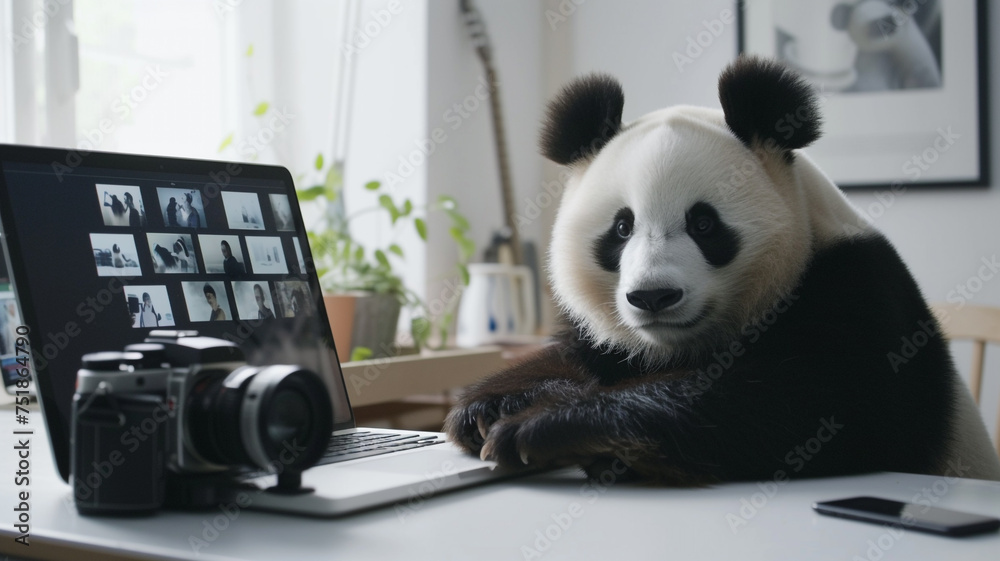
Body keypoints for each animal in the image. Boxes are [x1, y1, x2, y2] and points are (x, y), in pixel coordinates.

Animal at [444, 56, 1000, 484]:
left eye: (704, 223)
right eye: (621, 227)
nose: (653, 296)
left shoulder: (858, 293)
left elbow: (802, 406)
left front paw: (545, 428)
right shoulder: (614, 342)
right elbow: (583, 356)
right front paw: (492, 406)